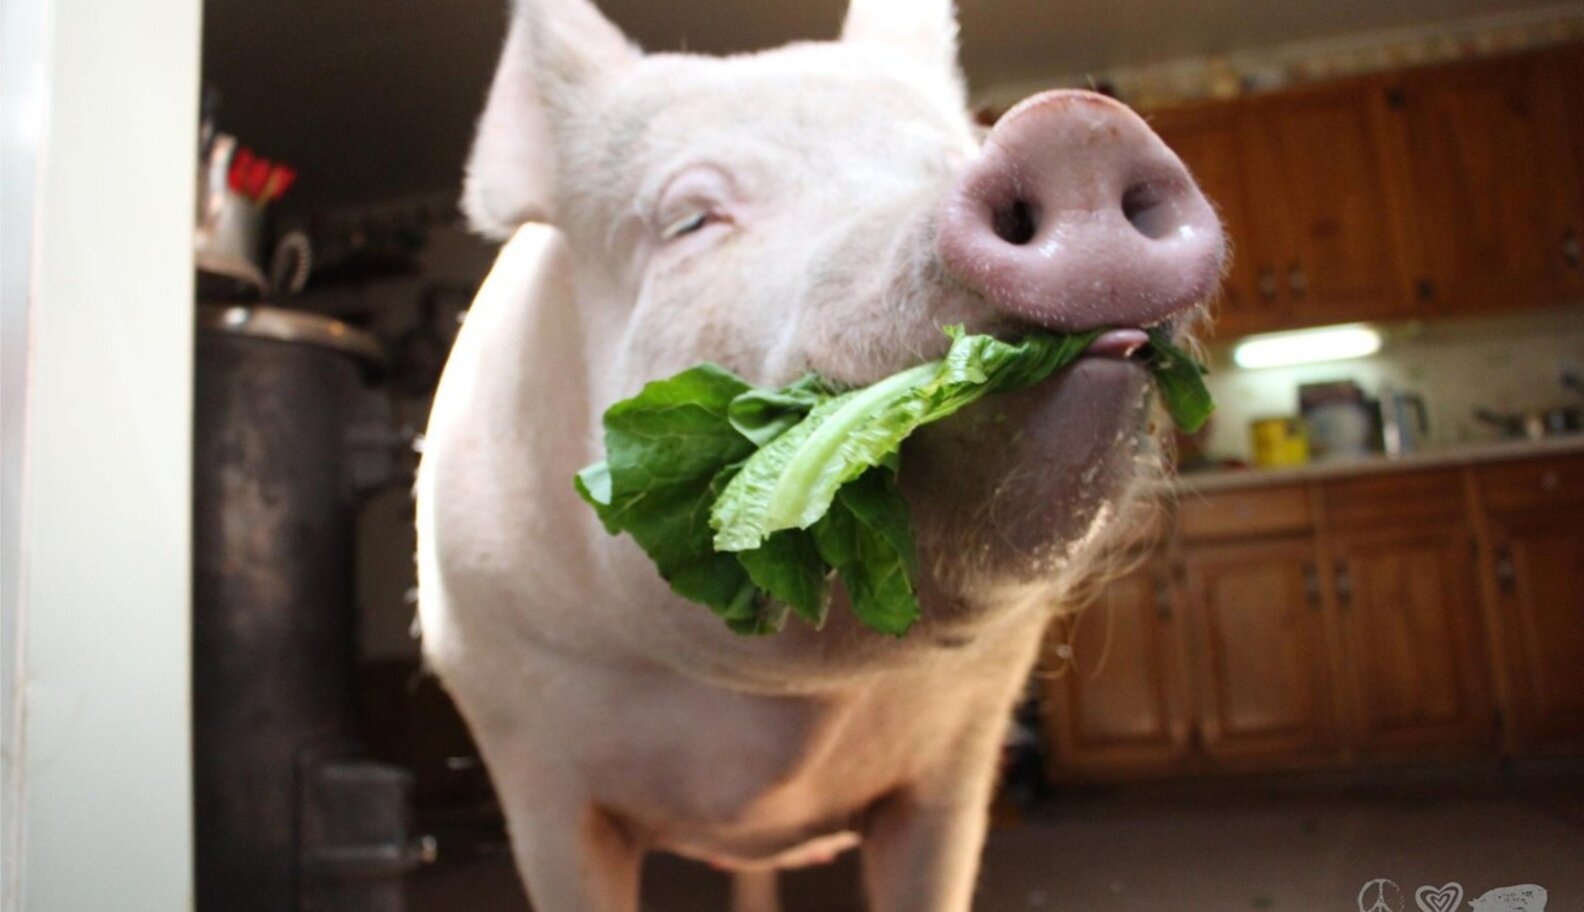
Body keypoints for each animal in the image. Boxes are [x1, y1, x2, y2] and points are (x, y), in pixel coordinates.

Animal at [415, 1, 1224, 910]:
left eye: (948, 160)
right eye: (690, 219)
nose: (1073, 128)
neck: (783, 713)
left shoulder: (958, 758)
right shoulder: (527, 757)